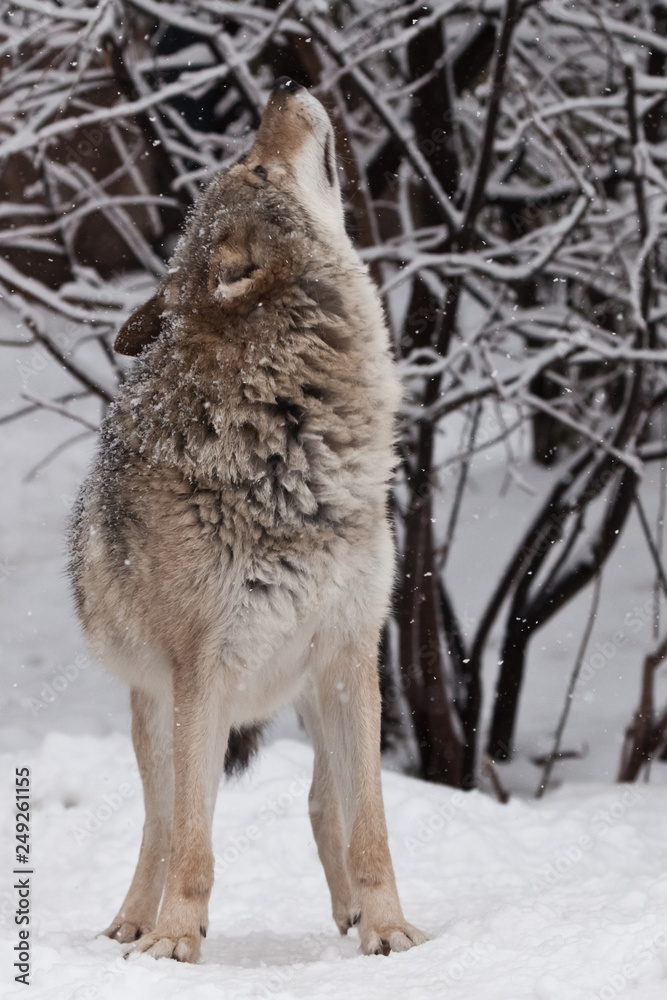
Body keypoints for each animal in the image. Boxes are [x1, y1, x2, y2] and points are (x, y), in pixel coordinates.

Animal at [69, 78, 428, 963]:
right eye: (256, 169)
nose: (285, 85)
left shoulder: (351, 653)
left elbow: (371, 830)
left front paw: (389, 931)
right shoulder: (203, 677)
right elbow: (191, 842)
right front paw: (172, 942)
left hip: (317, 691)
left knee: (322, 802)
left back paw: (348, 915)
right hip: (159, 711)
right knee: (161, 824)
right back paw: (133, 922)